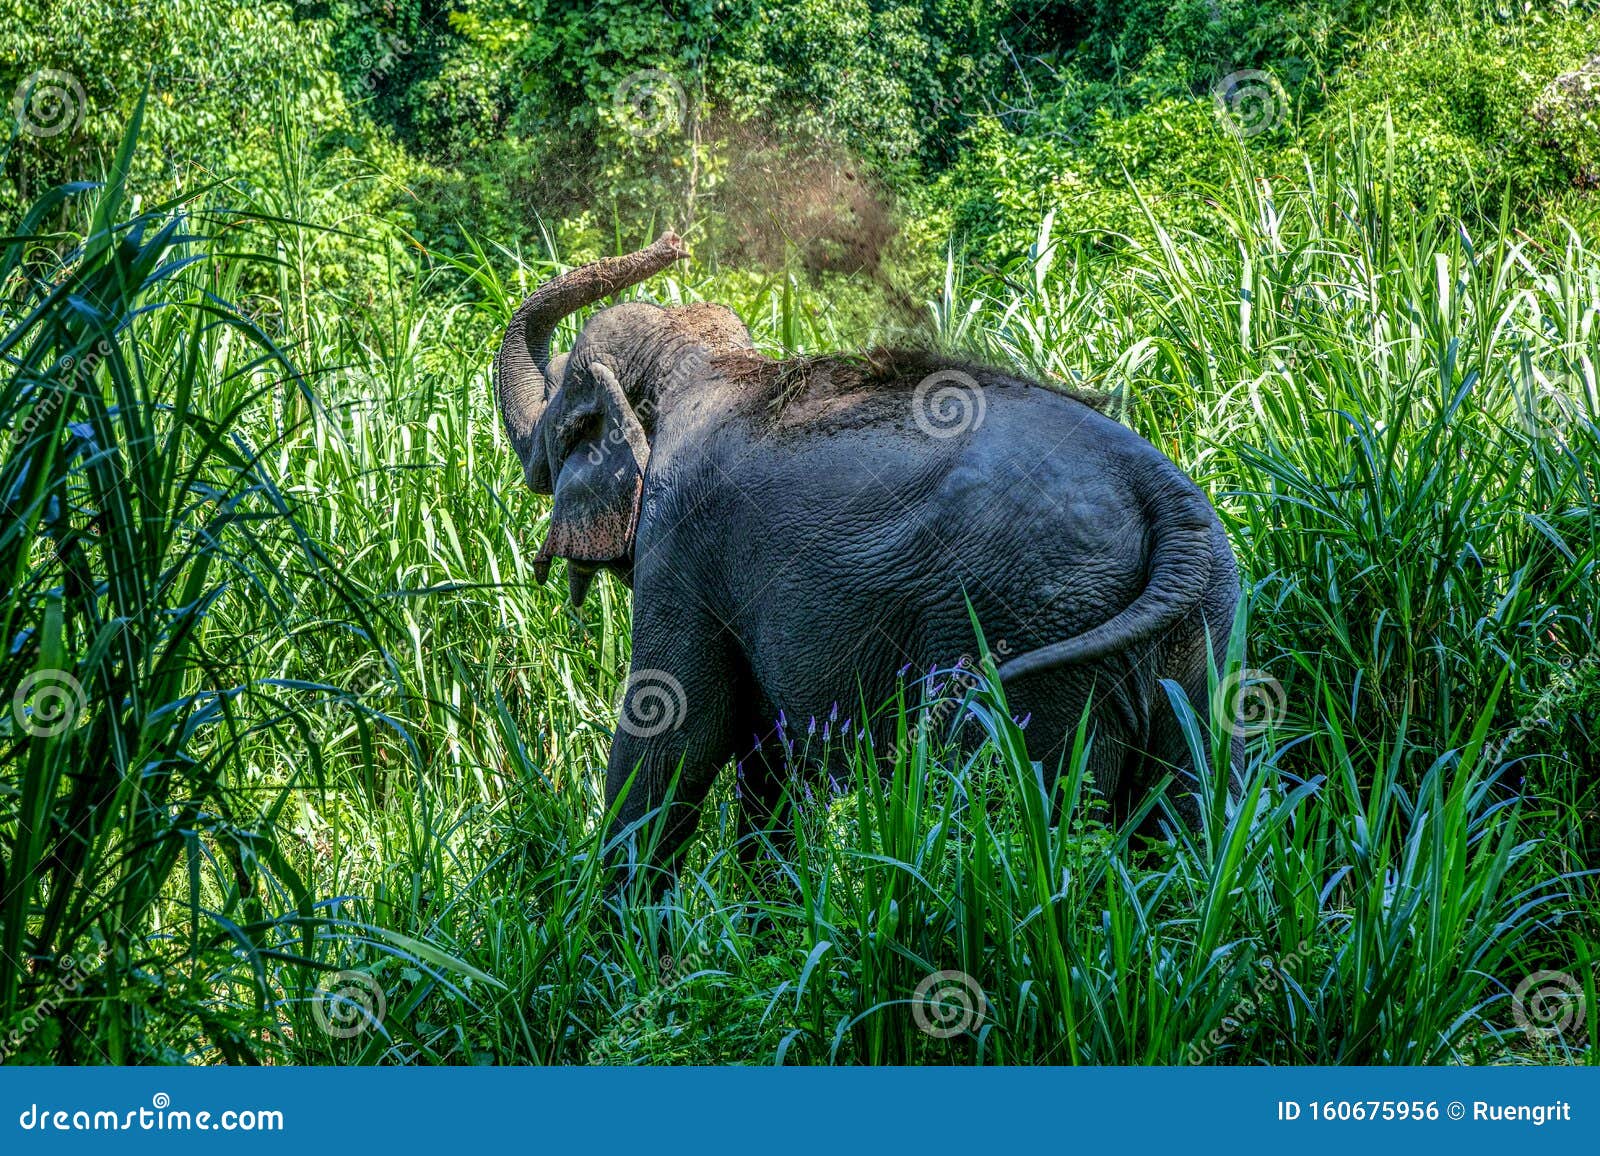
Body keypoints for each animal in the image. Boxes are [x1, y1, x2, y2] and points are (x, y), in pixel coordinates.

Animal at [494, 232, 1241, 883]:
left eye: (564, 421)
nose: (675, 244)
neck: (706, 365)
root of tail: (1166, 495)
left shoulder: (681, 546)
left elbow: (673, 732)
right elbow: (770, 757)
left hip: (1036, 630)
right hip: (1204, 633)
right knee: (1190, 812)